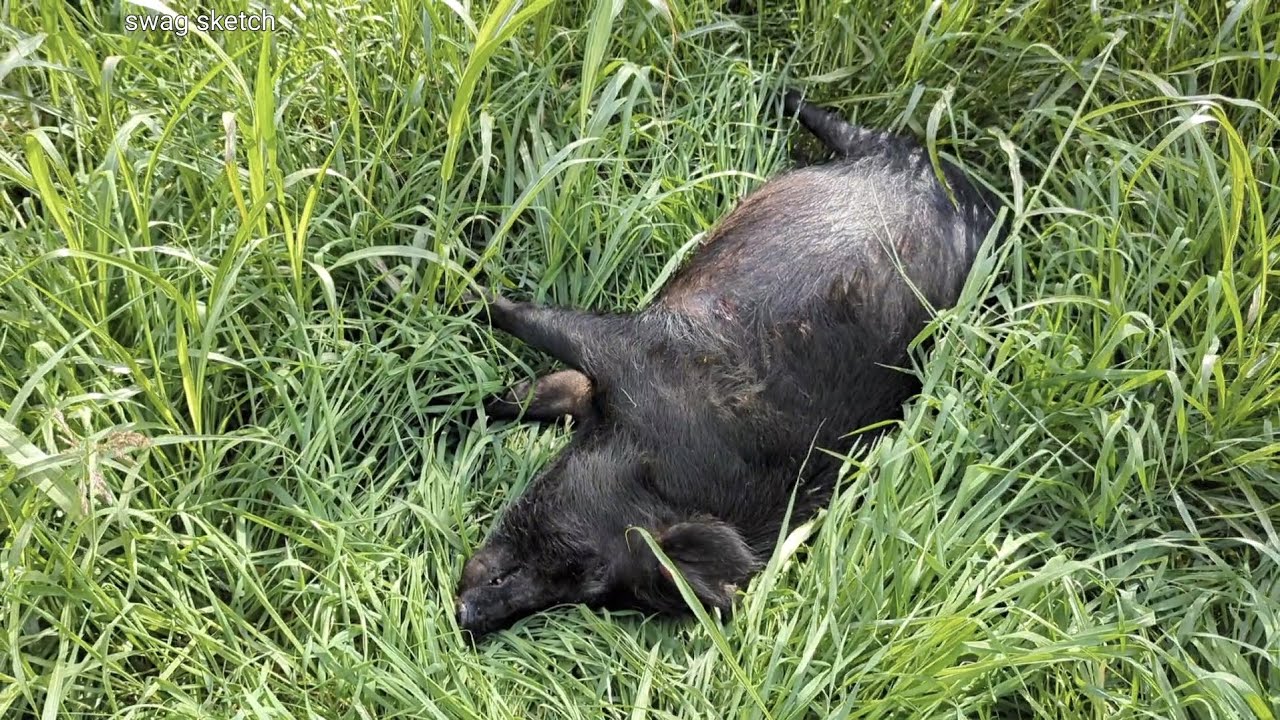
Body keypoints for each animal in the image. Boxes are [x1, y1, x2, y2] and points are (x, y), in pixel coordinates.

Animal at [455, 90, 1000, 637]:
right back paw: (783, 94)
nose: (465, 617)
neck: (662, 459)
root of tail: (981, 195)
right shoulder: (634, 354)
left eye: (584, 581)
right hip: (887, 150)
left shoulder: (630, 353)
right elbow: (530, 363)